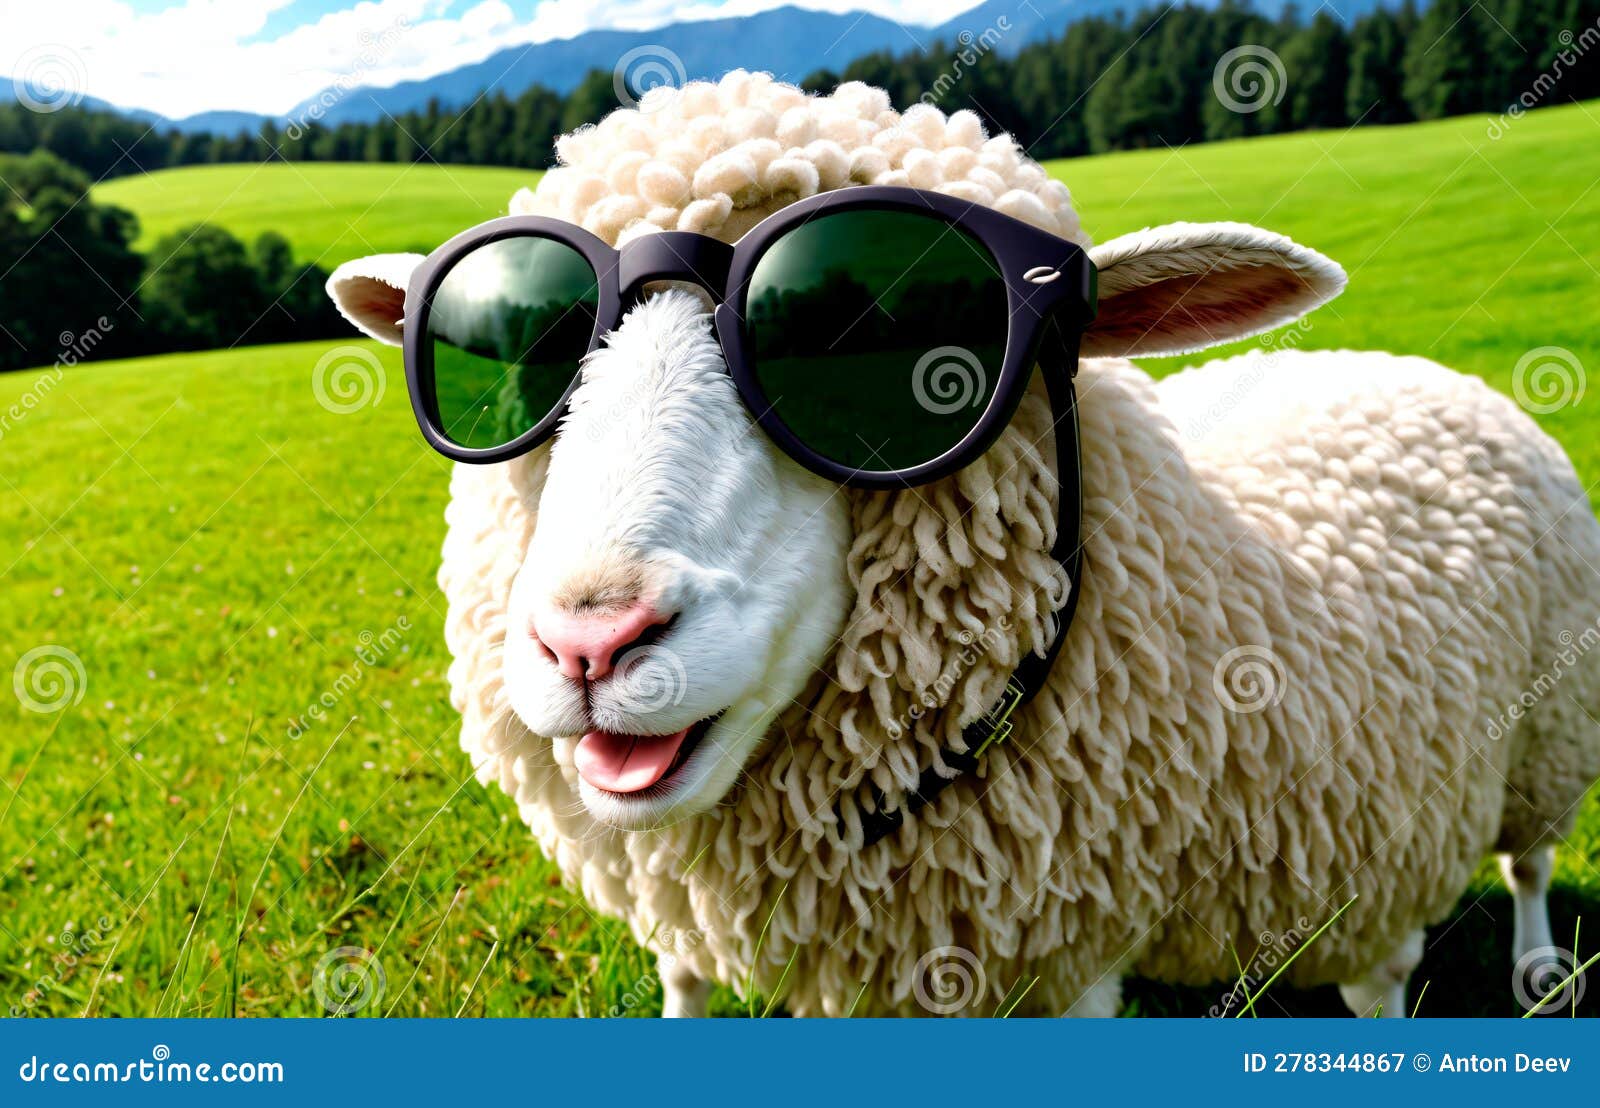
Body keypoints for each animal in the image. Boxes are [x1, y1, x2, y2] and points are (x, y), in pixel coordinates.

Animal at [326, 71, 1600, 1017]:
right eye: (530, 350)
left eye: (869, 341)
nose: (592, 641)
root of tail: (1397, 362)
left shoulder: (1061, 958)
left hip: (1542, 737)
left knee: (1520, 869)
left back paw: (1535, 964)